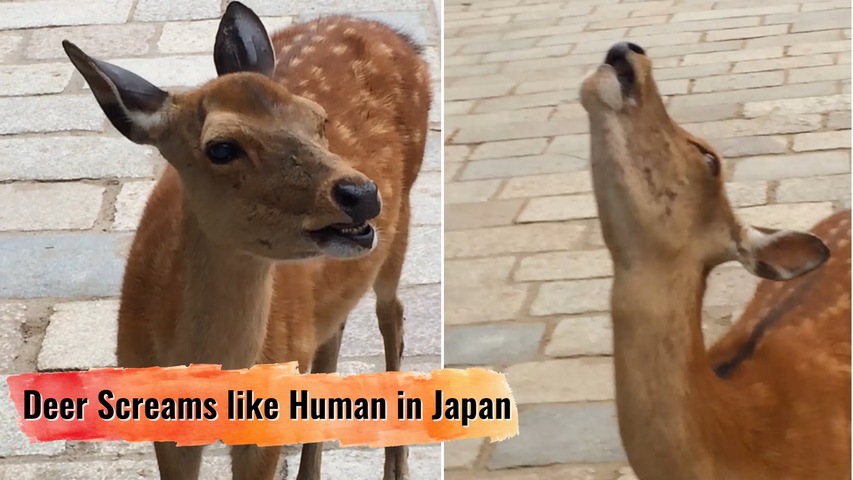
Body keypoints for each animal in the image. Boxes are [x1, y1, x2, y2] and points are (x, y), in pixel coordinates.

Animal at [61, 2, 431, 479]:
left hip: (402, 218)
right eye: (221, 148)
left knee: (392, 313)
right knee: (335, 332)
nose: (362, 194)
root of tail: (397, 35)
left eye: (319, 119)